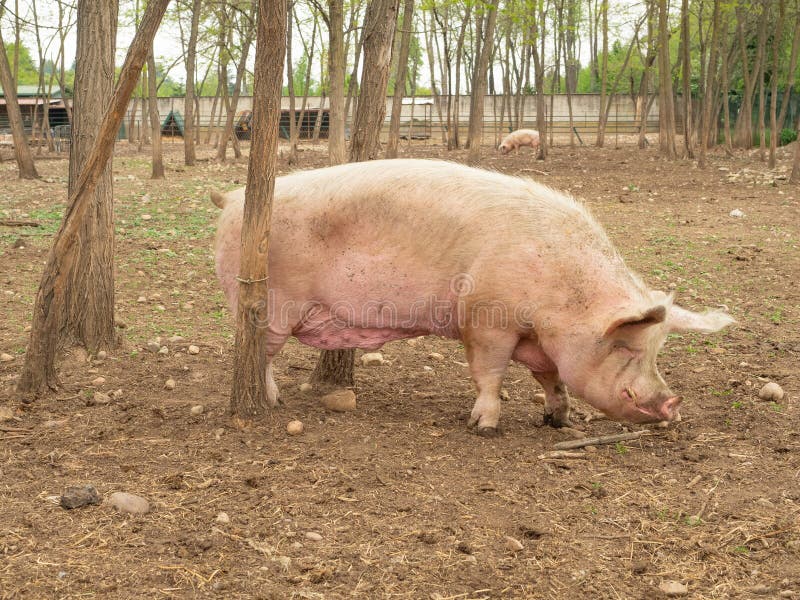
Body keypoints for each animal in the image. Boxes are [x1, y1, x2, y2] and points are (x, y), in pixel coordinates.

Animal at [212, 159, 733, 435]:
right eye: (625, 346)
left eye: (657, 351)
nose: (670, 405)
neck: (561, 294)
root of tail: (233, 198)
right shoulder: (485, 319)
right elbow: (489, 373)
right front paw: (483, 426)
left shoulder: (537, 340)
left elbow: (550, 377)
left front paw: (558, 420)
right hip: (270, 305)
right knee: (259, 354)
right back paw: (272, 403)